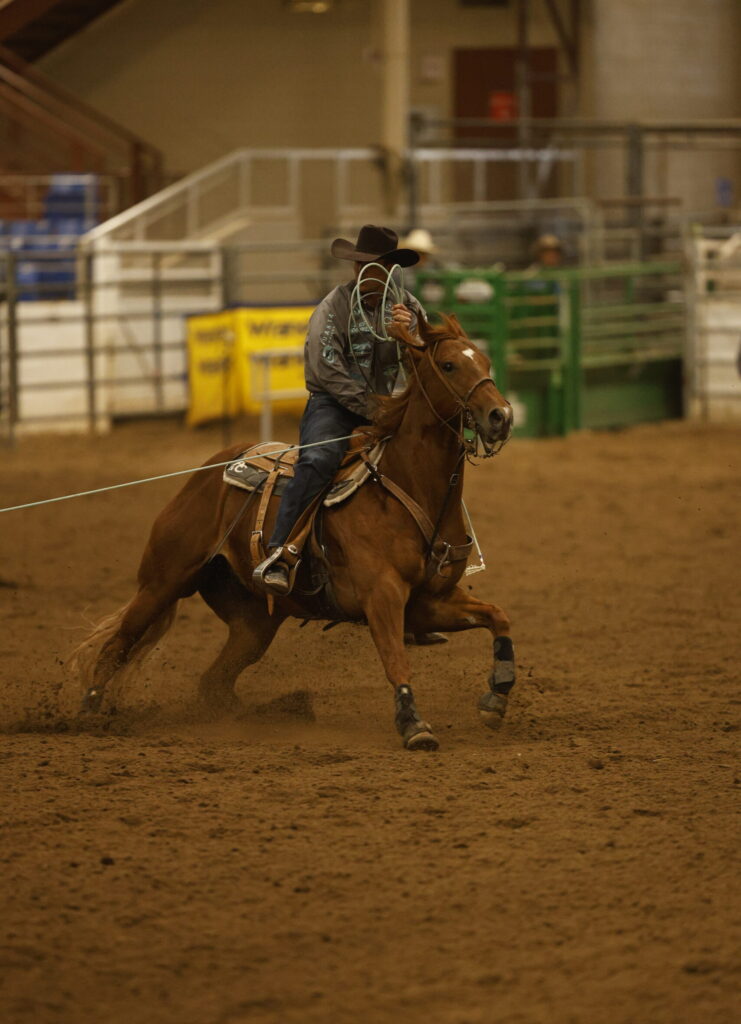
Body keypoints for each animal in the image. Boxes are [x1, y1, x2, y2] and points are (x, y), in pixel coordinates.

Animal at [71, 314, 515, 751]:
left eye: (486, 363)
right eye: (449, 365)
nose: (502, 416)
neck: (406, 485)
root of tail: (208, 472)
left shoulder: (427, 600)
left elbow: (498, 616)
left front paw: (496, 696)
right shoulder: (382, 595)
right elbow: (394, 658)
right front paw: (414, 724)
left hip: (253, 624)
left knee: (214, 681)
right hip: (162, 583)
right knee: (117, 645)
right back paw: (89, 711)